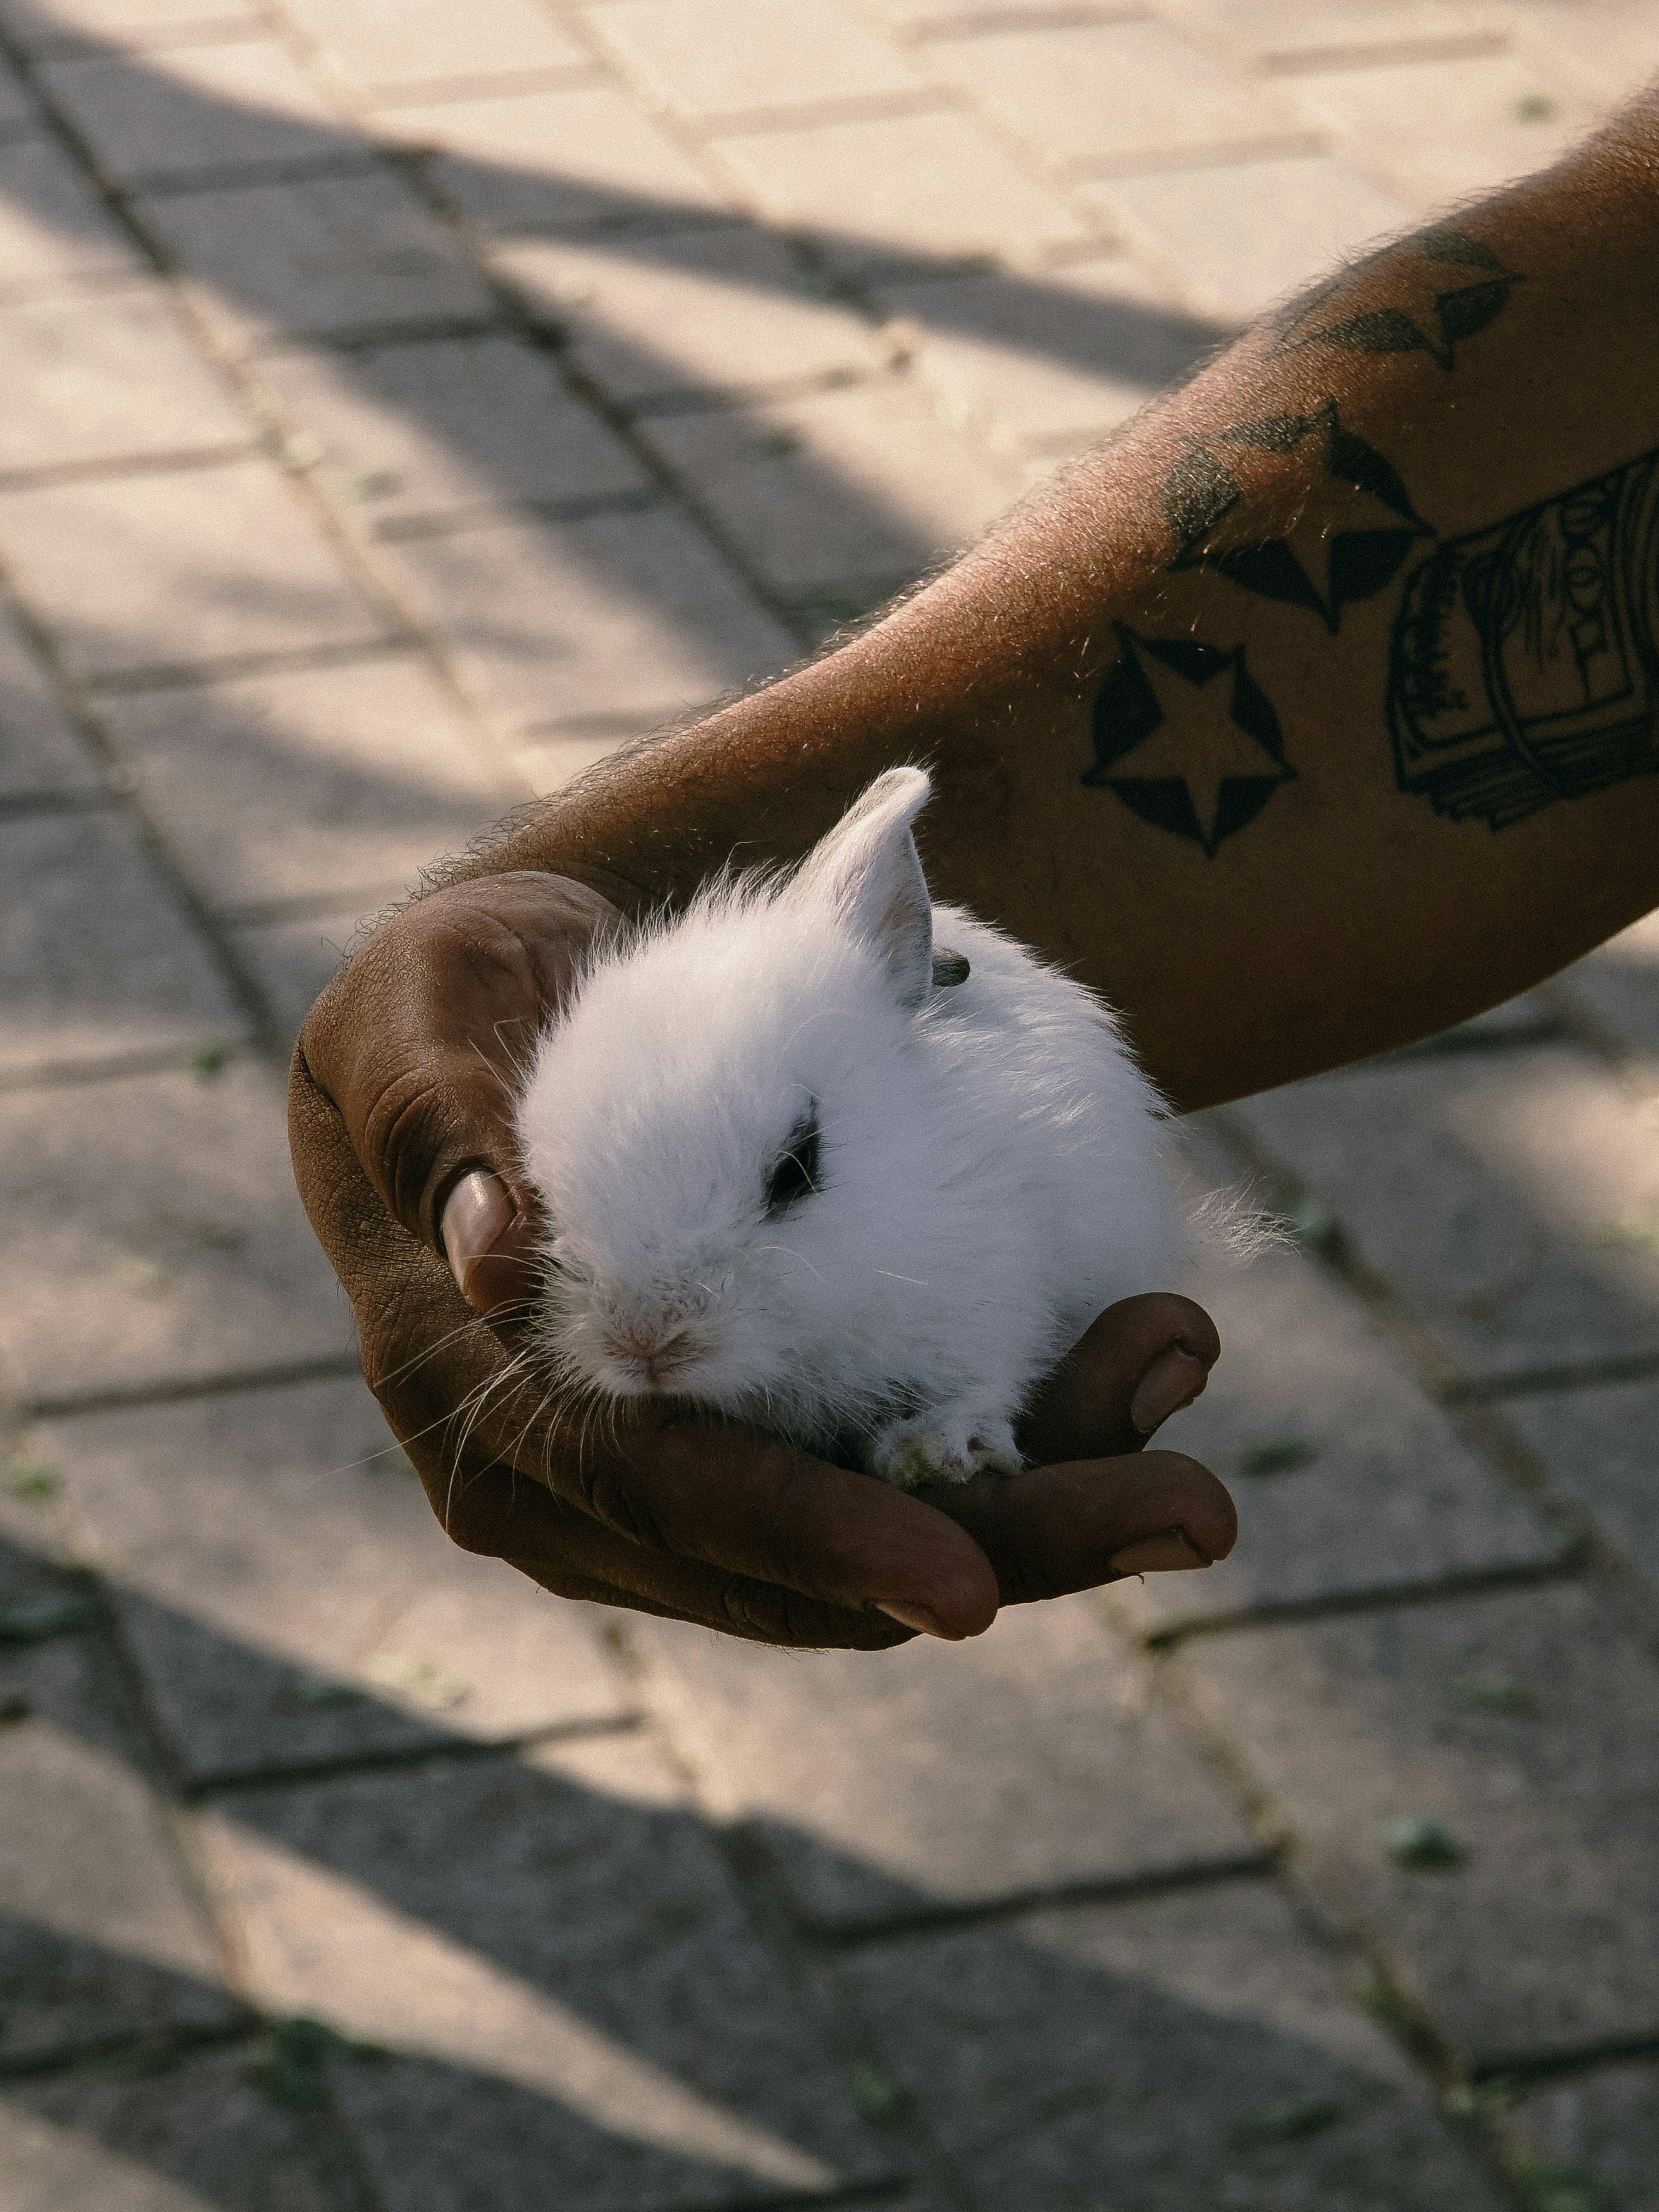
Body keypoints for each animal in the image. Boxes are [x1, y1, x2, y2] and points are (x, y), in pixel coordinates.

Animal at [513, 766, 1184, 1488]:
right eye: (544, 1196)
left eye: (796, 1168)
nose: (644, 1342)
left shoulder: (997, 1299)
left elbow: (985, 1379)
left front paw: (940, 1450)